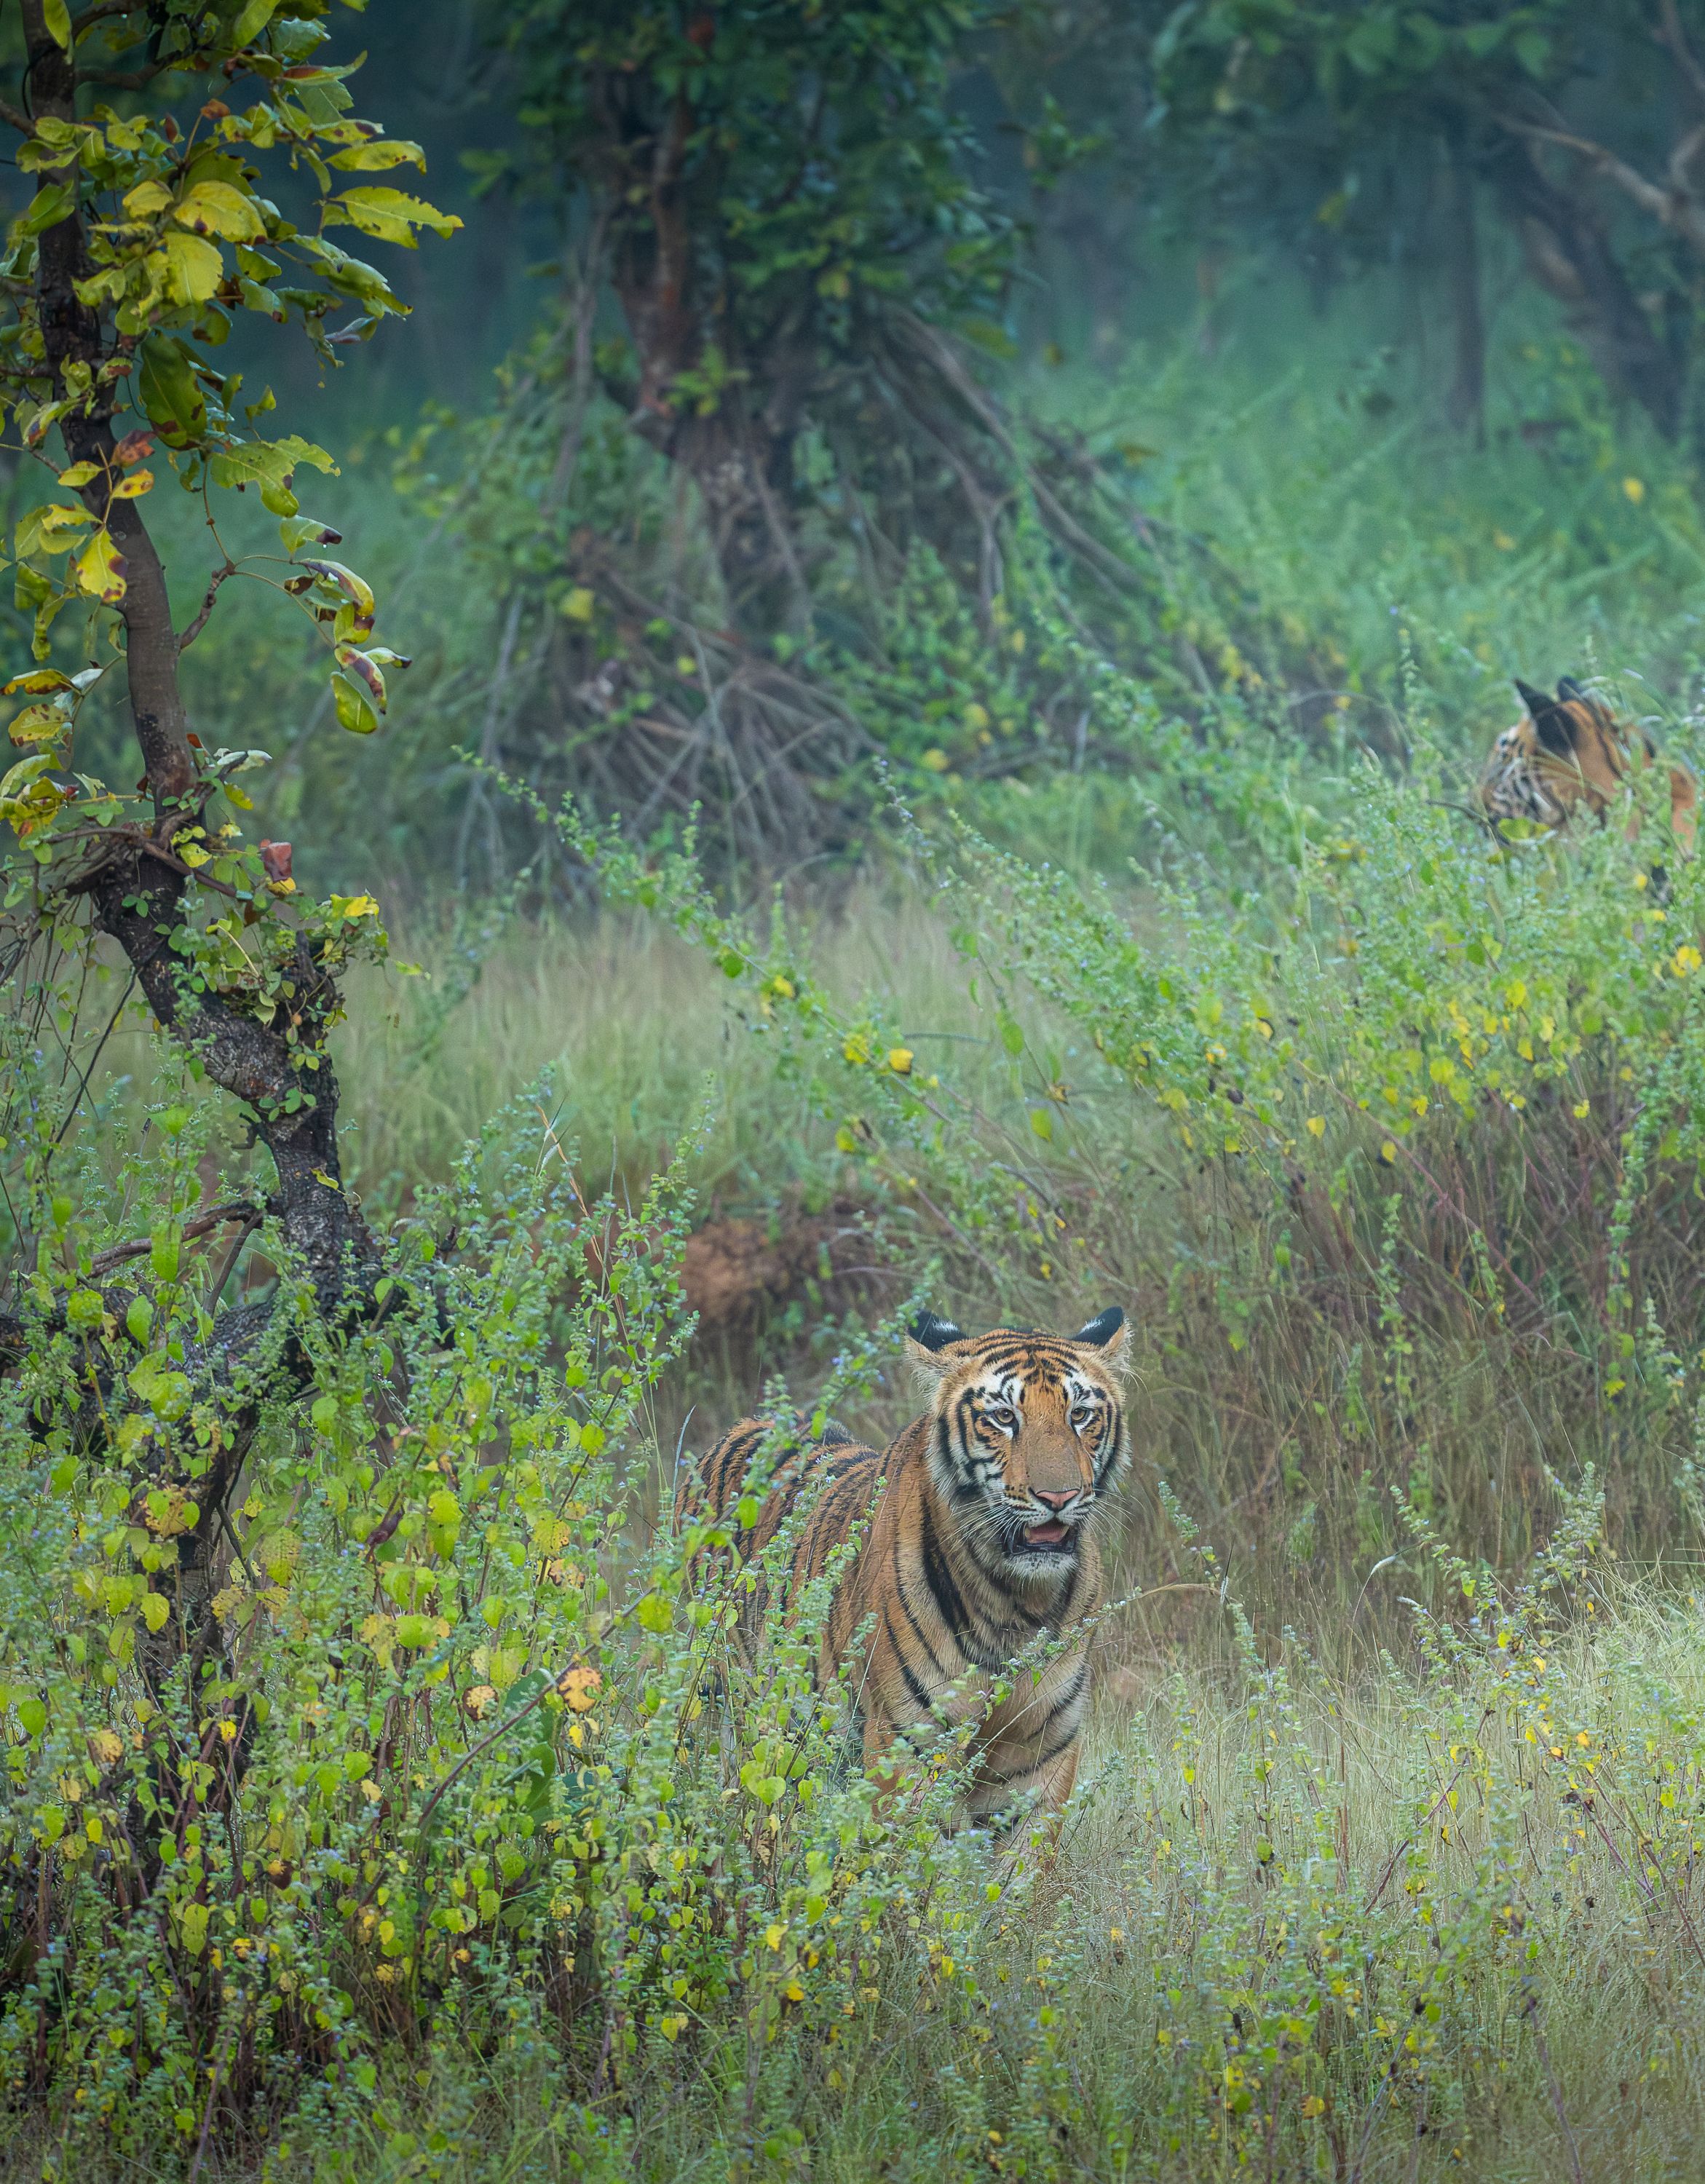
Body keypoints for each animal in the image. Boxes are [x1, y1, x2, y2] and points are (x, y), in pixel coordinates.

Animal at [676, 1306, 1132, 1827]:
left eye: (1079, 1415)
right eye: (1003, 1417)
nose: (1059, 1497)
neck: (1017, 1602)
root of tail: (748, 1423)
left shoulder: (1041, 1758)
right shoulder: (906, 1748)